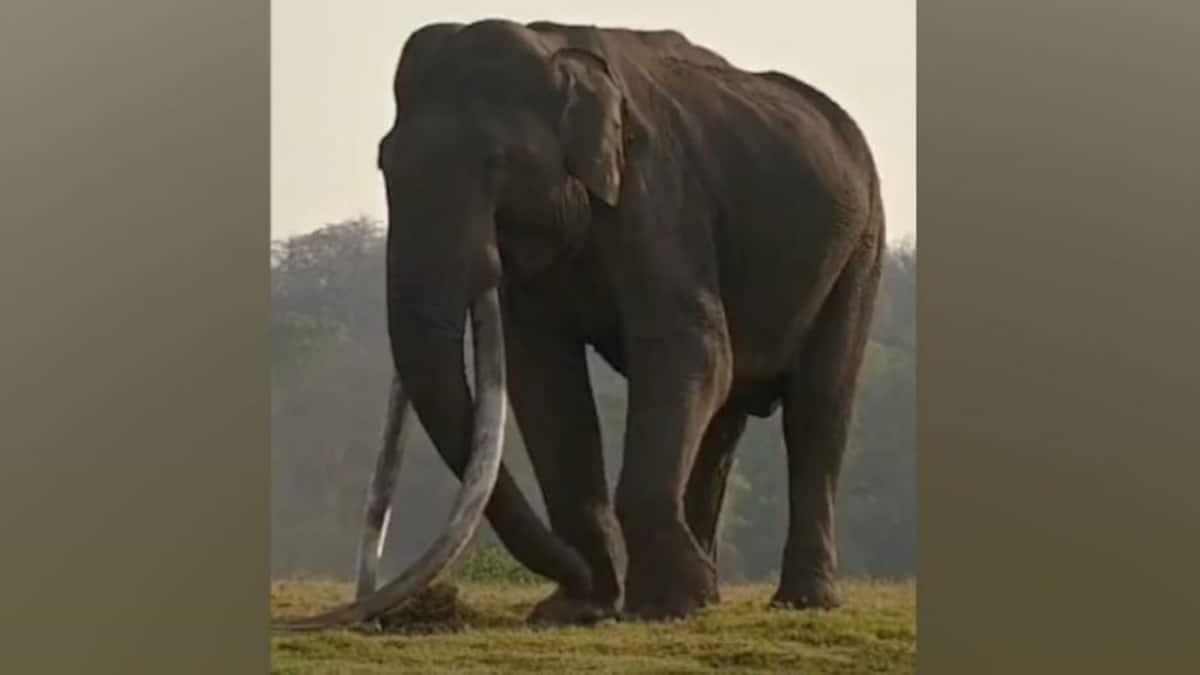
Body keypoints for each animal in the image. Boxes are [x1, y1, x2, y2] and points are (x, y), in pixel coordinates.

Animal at [282, 18, 885, 630]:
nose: (372, 615)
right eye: (385, 163)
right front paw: (577, 610)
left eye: (498, 162)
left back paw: (800, 600)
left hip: (861, 246)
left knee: (818, 410)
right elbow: (544, 376)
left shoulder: (659, 197)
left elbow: (687, 347)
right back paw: (709, 593)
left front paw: (660, 608)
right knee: (725, 420)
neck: (555, 52)